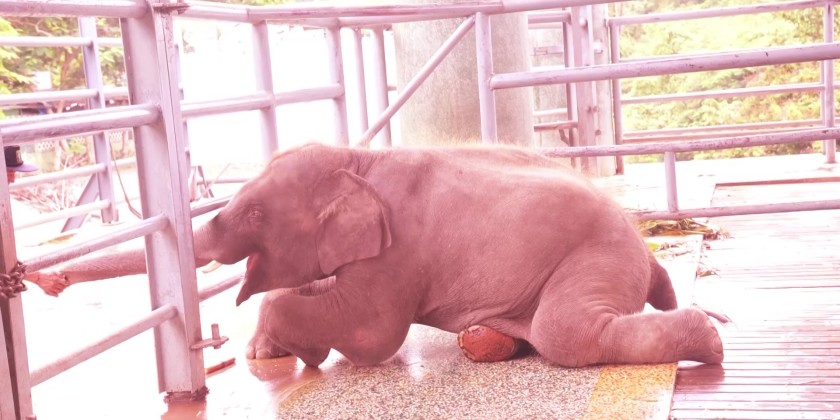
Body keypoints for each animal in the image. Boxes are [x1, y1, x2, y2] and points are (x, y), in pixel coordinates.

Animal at [38, 144, 724, 368]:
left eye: (256, 215)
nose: (43, 280)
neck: (357, 158)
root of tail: (640, 238)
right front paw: (267, 354)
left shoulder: (398, 253)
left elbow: (373, 333)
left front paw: (307, 356)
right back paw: (485, 340)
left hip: (596, 253)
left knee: (567, 333)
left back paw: (710, 342)